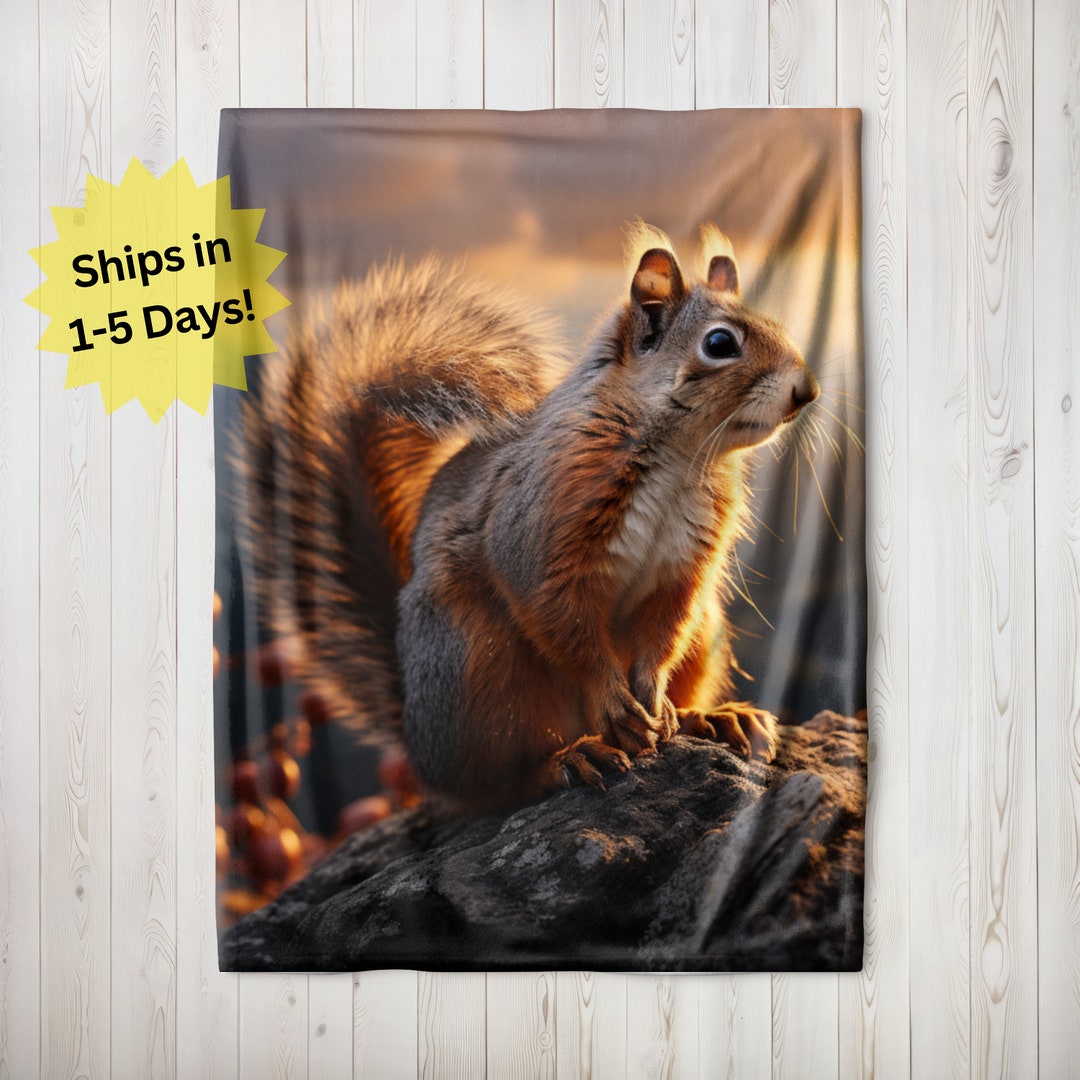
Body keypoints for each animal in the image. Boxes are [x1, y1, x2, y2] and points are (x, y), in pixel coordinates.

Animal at [239, 223, 819, 808]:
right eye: (720, 344)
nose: (807, 391)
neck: (681, 457)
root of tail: (416, 739)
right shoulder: (539, 532)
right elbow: (562, 618)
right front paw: (614, 699)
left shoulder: (684, 572)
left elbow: (662, 634)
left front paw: (654, 696)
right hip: (481, 665)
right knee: (496, 784)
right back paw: (569, 759)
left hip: (705, 632)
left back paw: (712, 717)